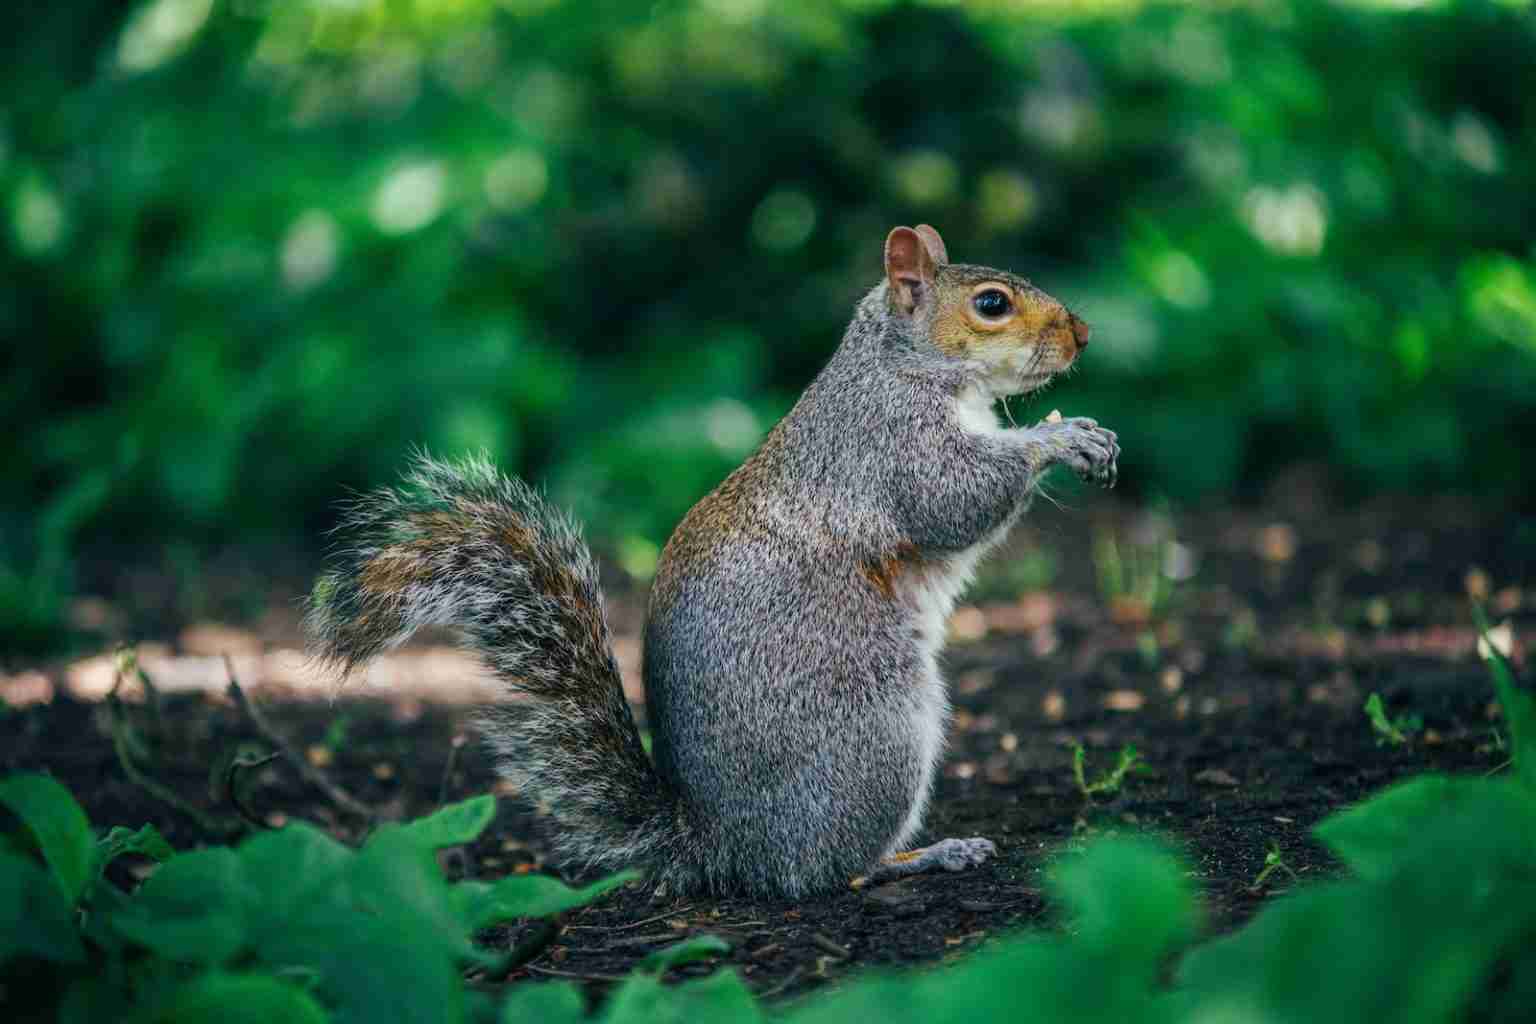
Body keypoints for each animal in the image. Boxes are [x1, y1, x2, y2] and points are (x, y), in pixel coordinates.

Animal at [304, 224, 1118, 898]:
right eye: (991, 304)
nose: (1083, 334)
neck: (905, 365)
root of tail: (722, 845)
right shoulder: (891, 444)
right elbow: (955, 498)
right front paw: (1060, 437)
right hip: (876, 730)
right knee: (831, 871)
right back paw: (926, 855)